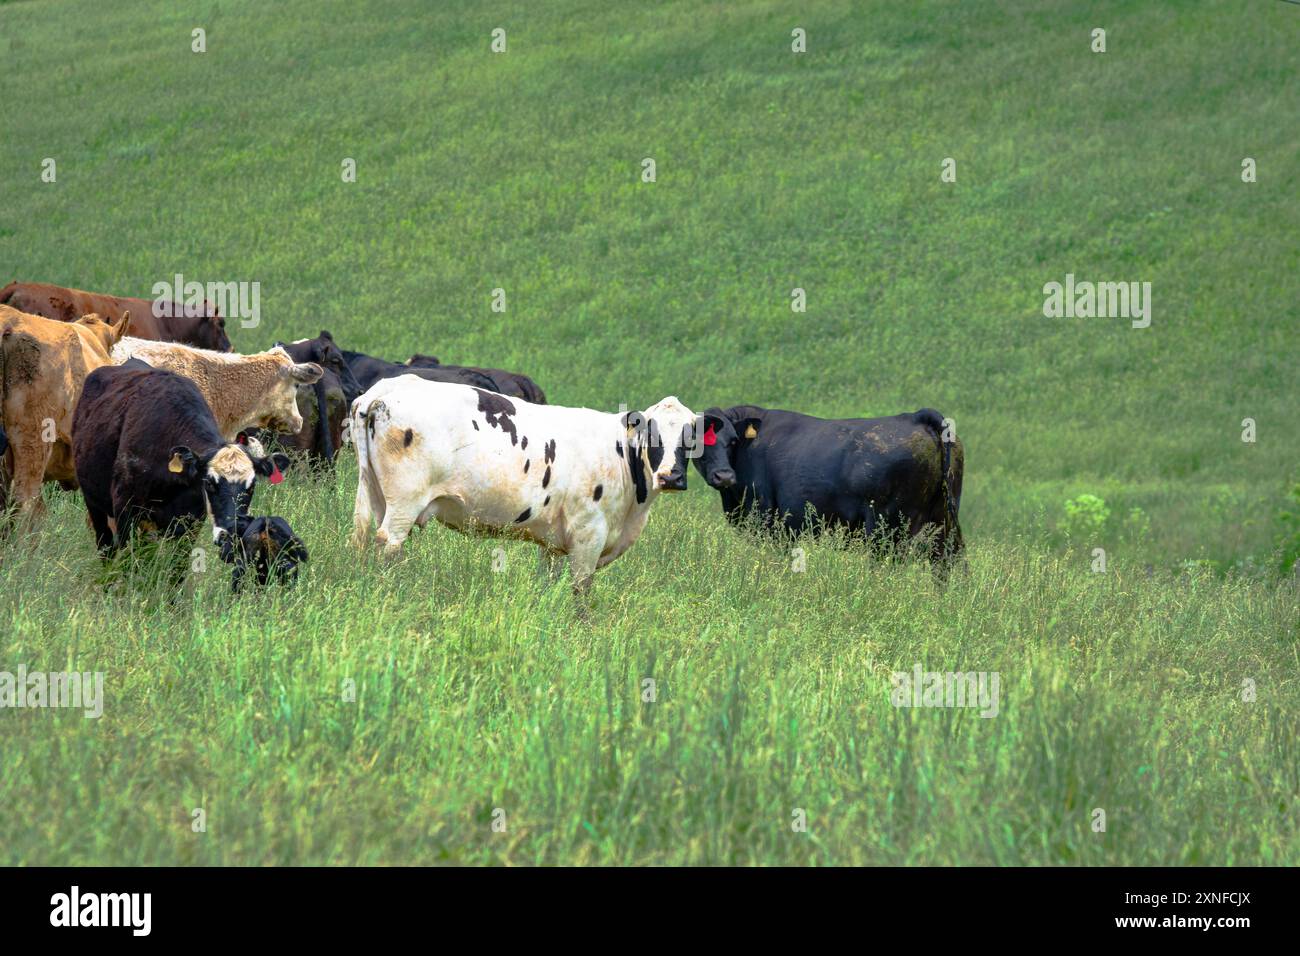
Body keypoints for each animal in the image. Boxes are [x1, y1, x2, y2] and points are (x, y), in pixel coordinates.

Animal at [73, 359, 291, 568]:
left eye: (252, 485)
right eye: (209, 483)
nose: (231, 535)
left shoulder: (189, 524)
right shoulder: (126, 511)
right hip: (95, 505)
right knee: (106, 547)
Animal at [349, 375, 696, 592]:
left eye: (691, 436)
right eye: (651, 434)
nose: (670, 476)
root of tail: (388, 388)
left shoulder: (555, 542)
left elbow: (549, 586)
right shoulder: (588, 534)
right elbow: (581, 595)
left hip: (374, 495)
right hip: (404, 502)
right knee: (389, 544)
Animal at [691, 405, 965, 564]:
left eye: (733, 440)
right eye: (697, 442)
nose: (724, 476)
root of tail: (916, 417)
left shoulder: (763, 517)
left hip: (887, 527)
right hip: (944, 521)